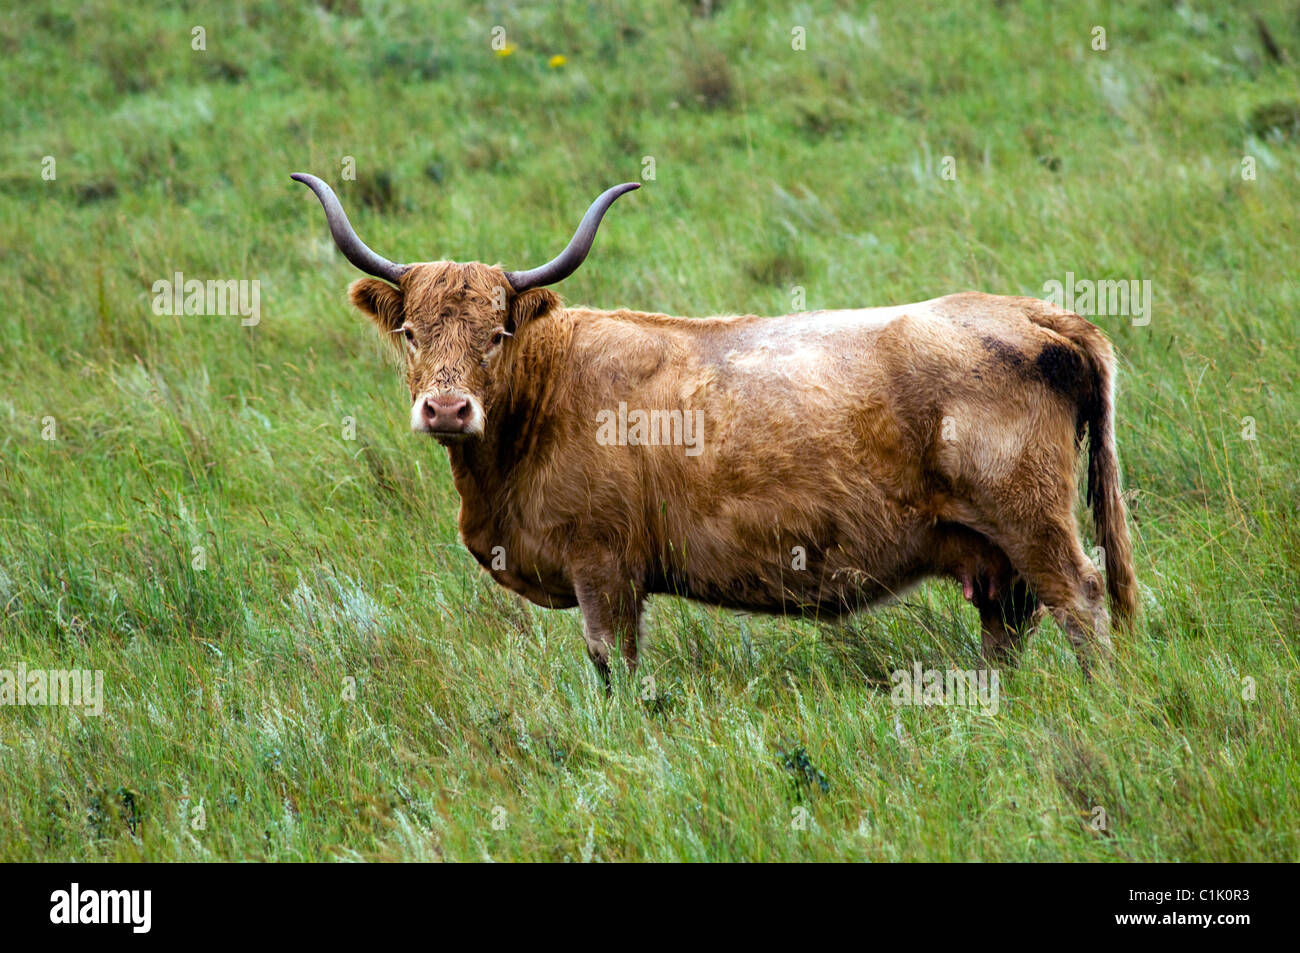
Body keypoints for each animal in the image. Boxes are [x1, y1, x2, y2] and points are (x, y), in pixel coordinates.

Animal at [292, 172, 1137, 683]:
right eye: (411, 333)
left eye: (497, 334)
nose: (446, 409)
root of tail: (1032, 312)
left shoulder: (603, 568)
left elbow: (613, 666)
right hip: (992, 554)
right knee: (1009, 628)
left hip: (1031, 521)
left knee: (1082, 598)